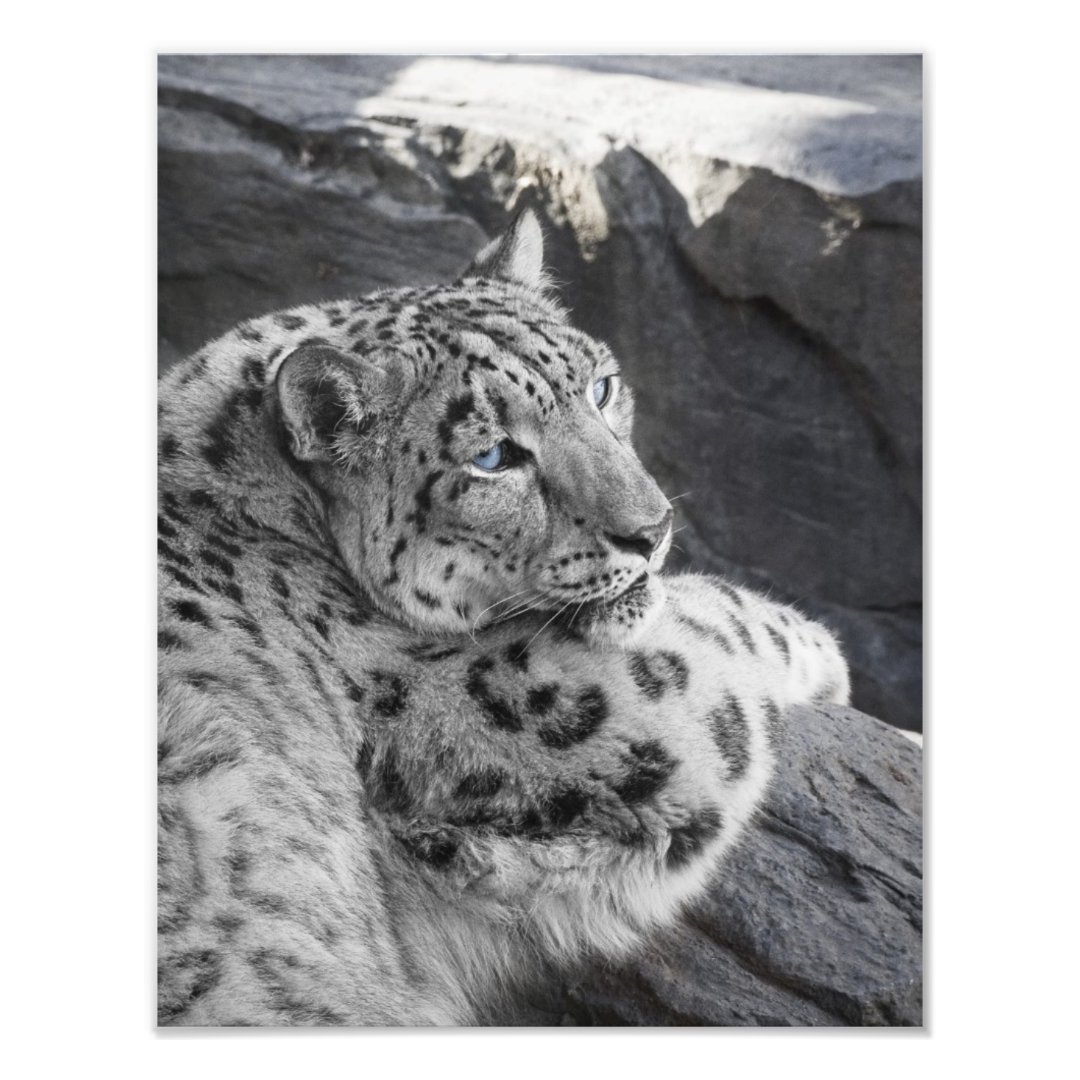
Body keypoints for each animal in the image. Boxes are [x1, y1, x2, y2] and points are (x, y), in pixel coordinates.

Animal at [157, 209, 850, 1026]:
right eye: (492, 457)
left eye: (601, 386)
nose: (651, 530)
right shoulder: (576, 697)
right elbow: (709, 629)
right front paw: (820, 647)